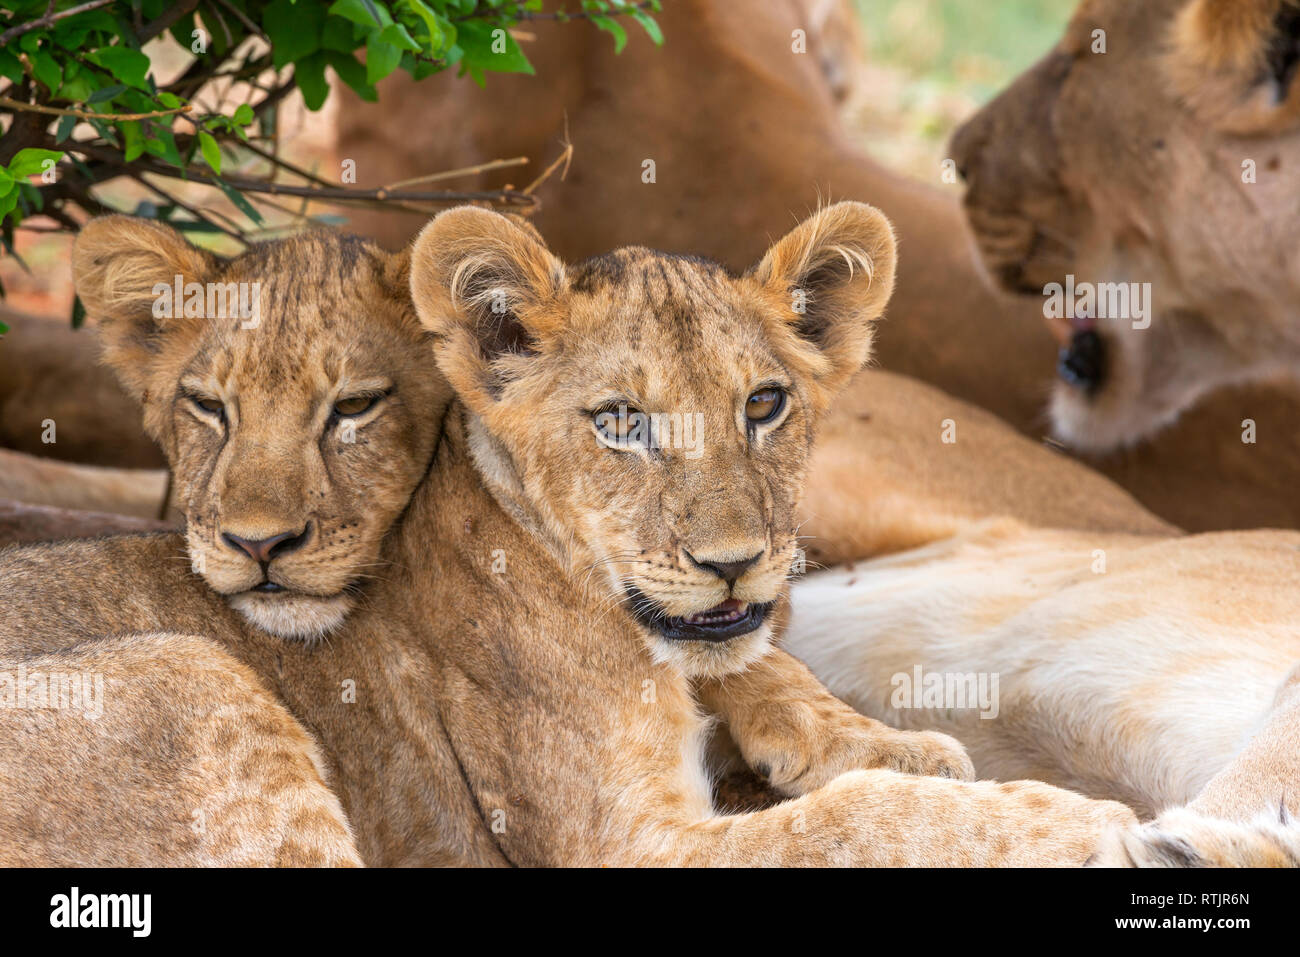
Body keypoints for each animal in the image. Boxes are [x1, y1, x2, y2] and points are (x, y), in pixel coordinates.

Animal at [0, 206, 1142, 867]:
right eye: (620, 423)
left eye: (764, 404)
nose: (734, 562)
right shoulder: (627, 847)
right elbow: (855, 822)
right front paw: (1077, 825)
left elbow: (772, 674)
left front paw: (888, 743)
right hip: (192, 675)